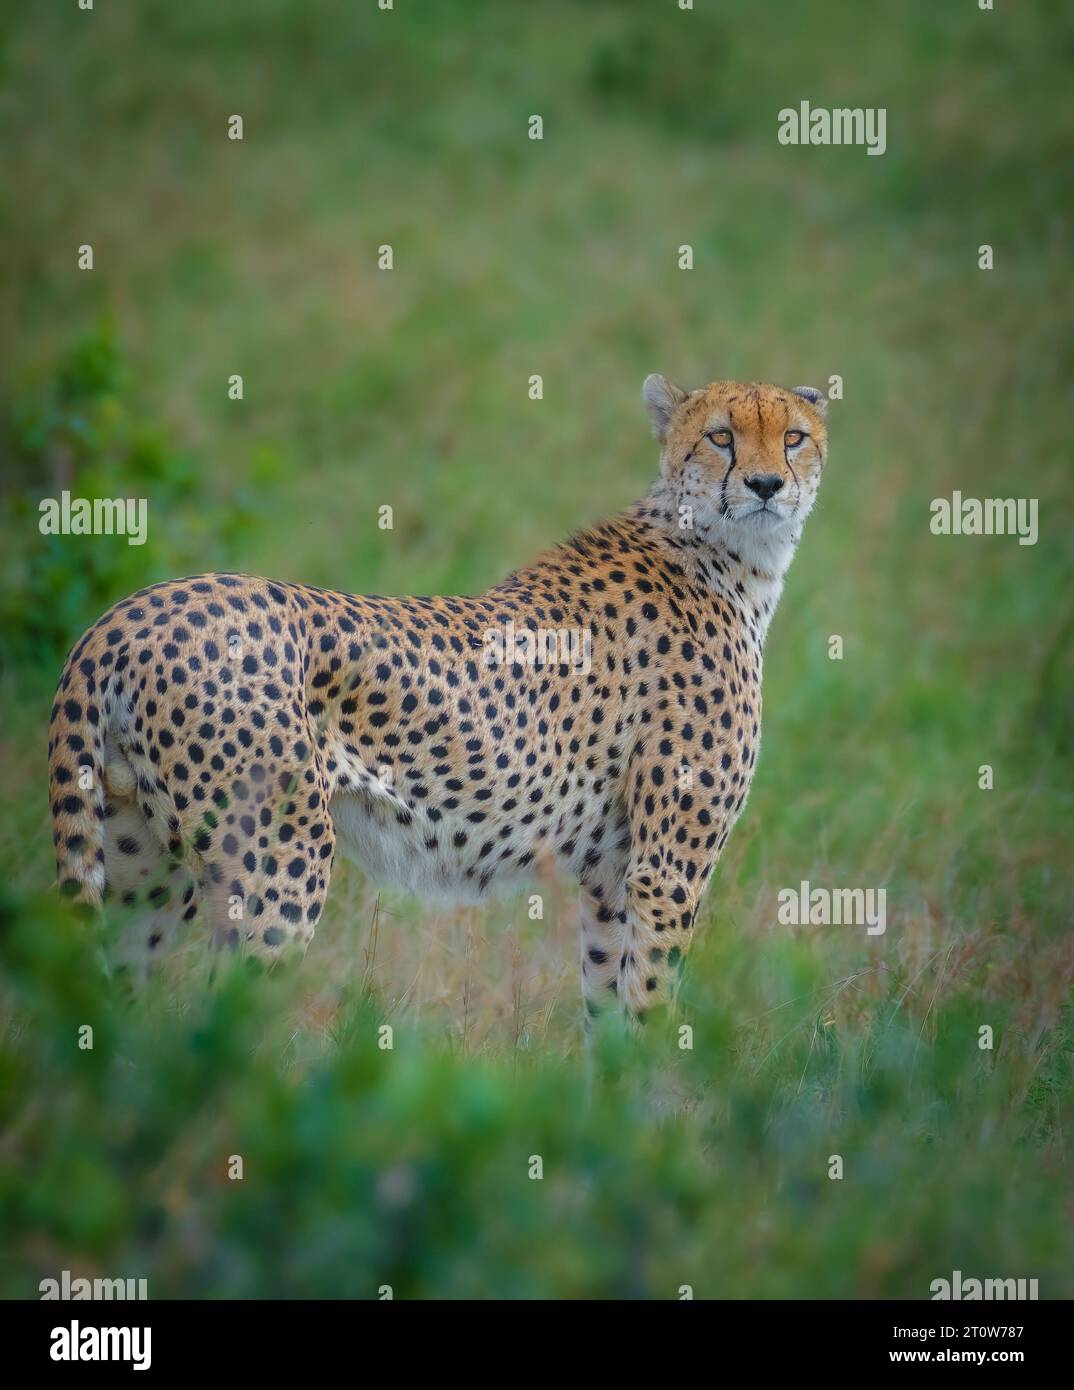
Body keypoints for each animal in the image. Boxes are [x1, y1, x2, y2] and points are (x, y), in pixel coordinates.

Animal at [48, 374, 828, 1025]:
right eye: (720, 436)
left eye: (794, 437)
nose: (765, 484)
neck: (725, 557)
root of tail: (128, 612)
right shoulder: (666, 871)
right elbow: (652, 1011)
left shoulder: (612, 873)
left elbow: (608, 1011)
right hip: (277, 861)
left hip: (145, 865)